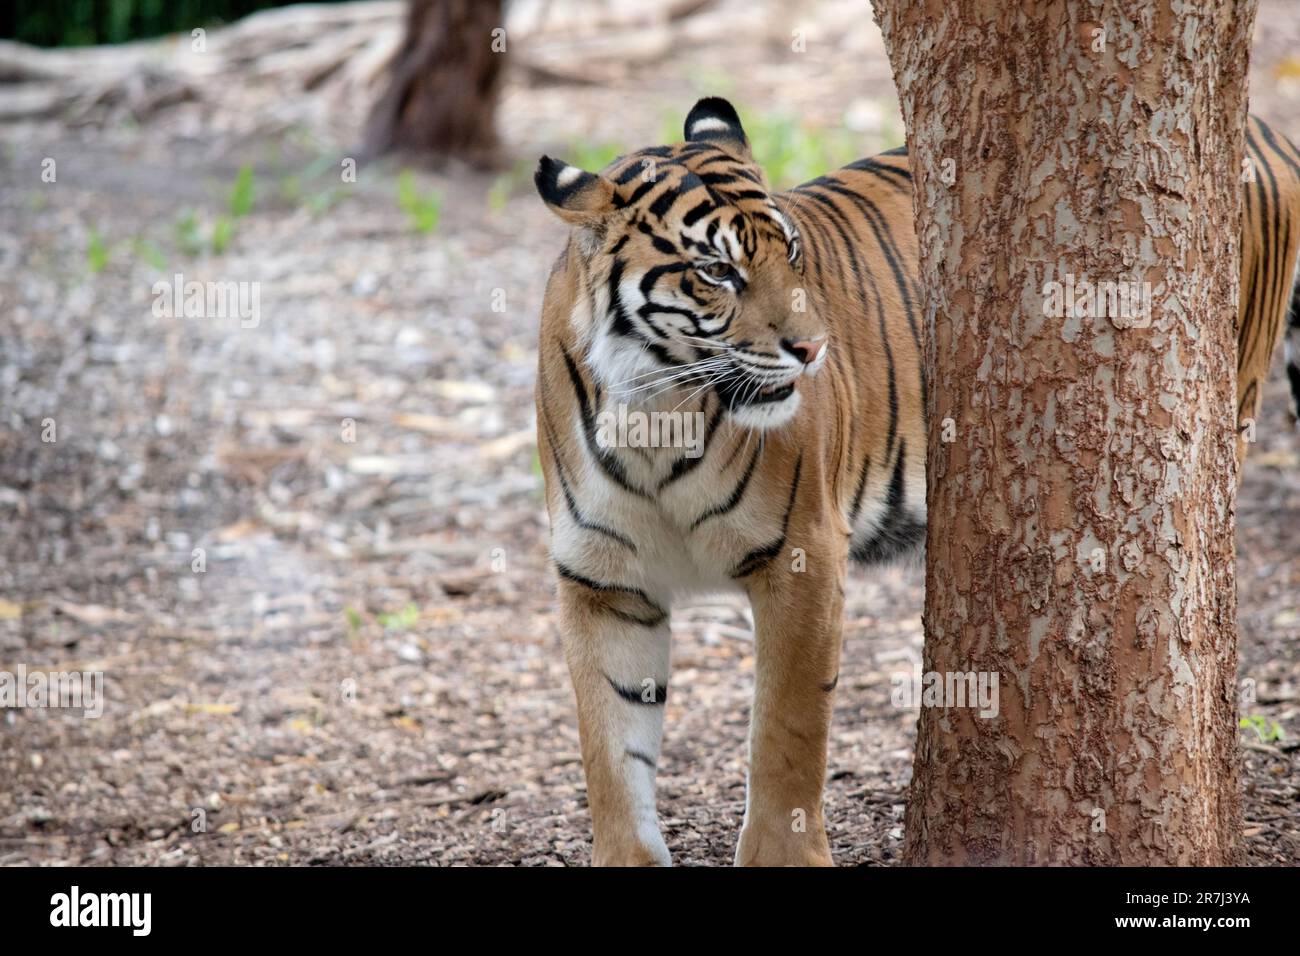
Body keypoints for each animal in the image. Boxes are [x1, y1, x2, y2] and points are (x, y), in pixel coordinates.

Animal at [532, 97, 1300, 866]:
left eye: (792, 252)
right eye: (717, 271)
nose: (813, 349)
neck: (655, 413)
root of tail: (1264, 127)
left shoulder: (802, 555)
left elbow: (785, 735)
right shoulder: (603, 583)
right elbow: (611, 751)